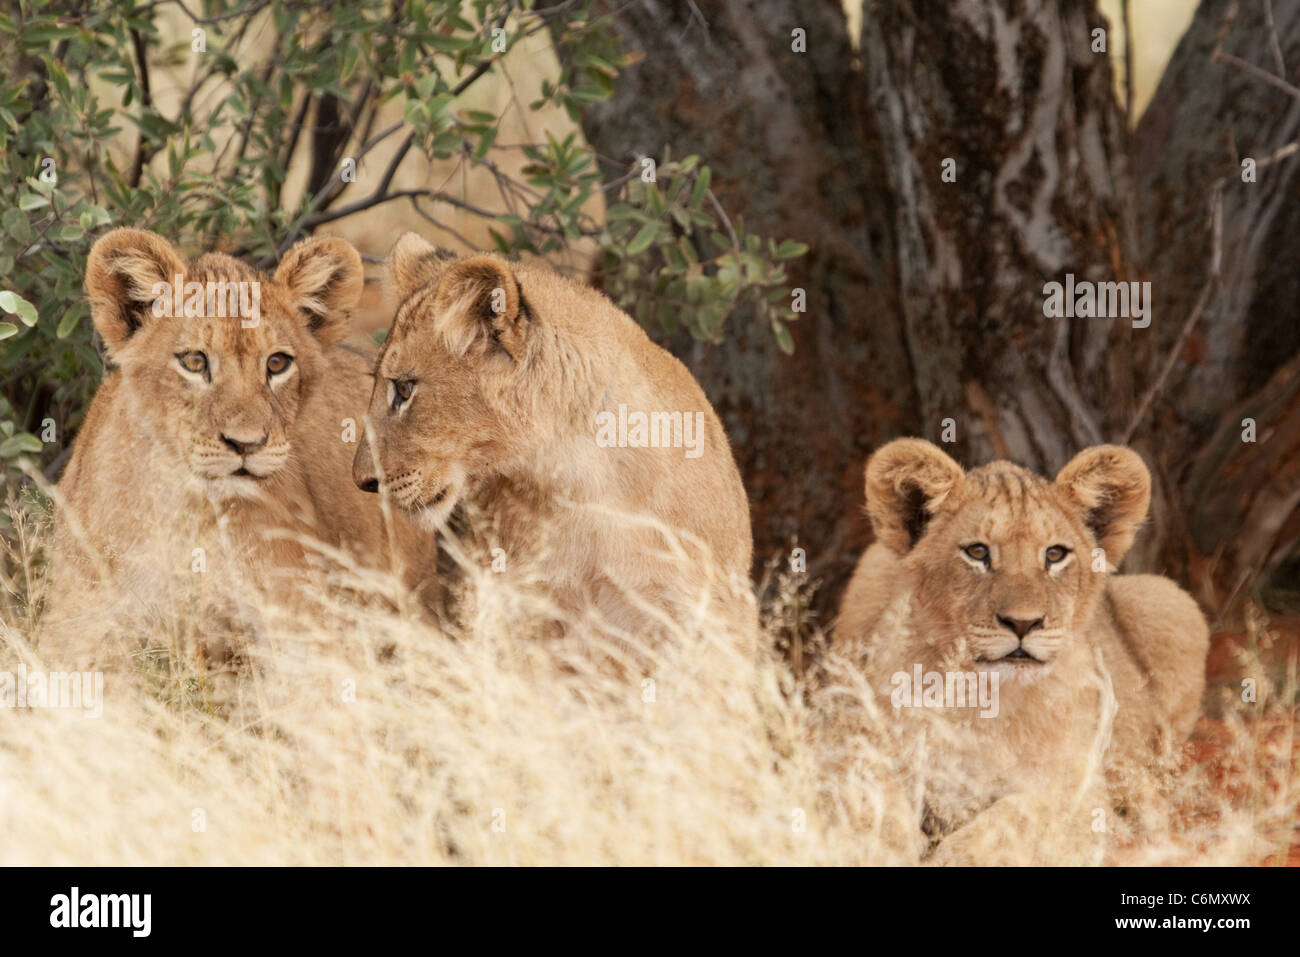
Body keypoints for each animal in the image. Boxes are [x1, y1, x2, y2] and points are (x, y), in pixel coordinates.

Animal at [42, 228, 434, 670]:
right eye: (194, 361)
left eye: (277, 363)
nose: (246, 444)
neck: (190, 510)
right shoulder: (71, 626)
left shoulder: (305, 626)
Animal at [825, 439, 1209, 863]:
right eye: (977, 552)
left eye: (1055, 554)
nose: (1024, 623)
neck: (982, 696)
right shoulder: (847, 752)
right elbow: (876, 809)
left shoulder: (1080, 793)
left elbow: (1010, 821)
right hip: (873, 563)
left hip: (1170, 600)